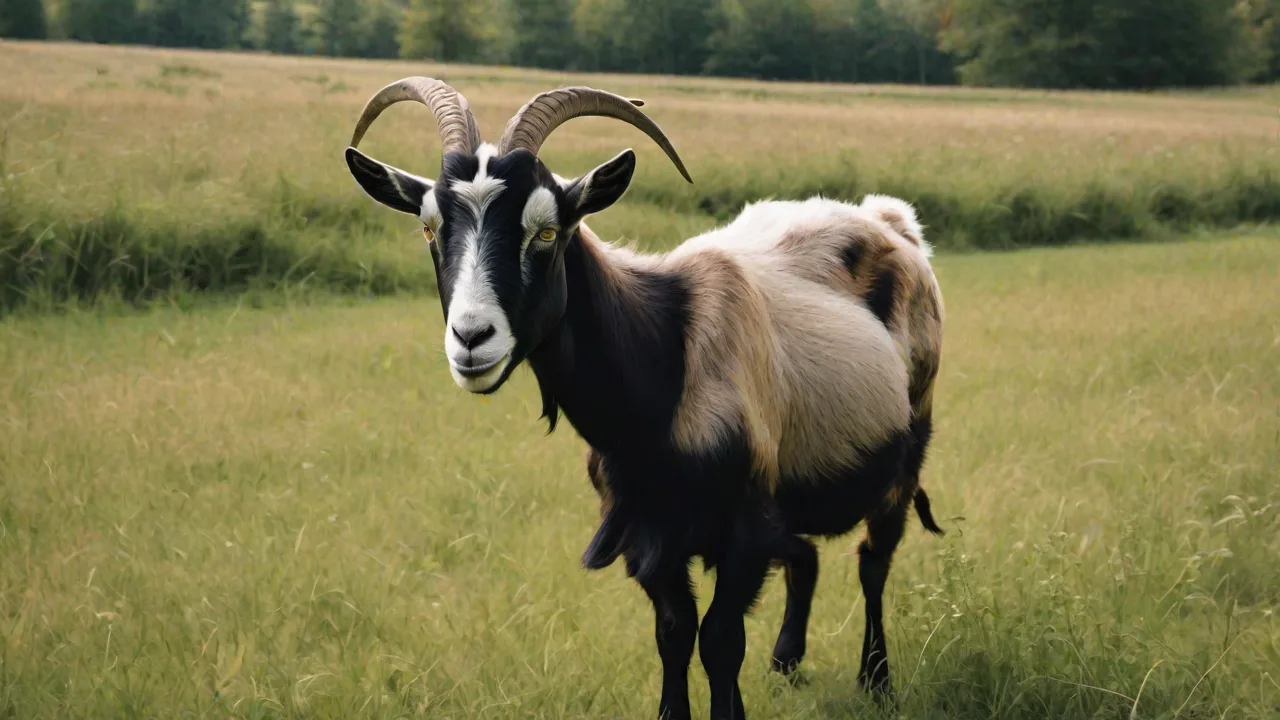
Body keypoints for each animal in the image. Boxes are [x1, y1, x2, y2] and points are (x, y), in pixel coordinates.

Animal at [343, 77, 946, 720]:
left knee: (873, 563)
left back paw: (876, 681)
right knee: (806, 556)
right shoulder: (650, 534)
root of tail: (889, 220)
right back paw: (787, 661)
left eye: (549, 231)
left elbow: (721, 641)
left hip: (906, 450)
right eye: (430, 228)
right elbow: (674, 634)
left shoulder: (744, 528)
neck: (662, 360)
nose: (471, 338)